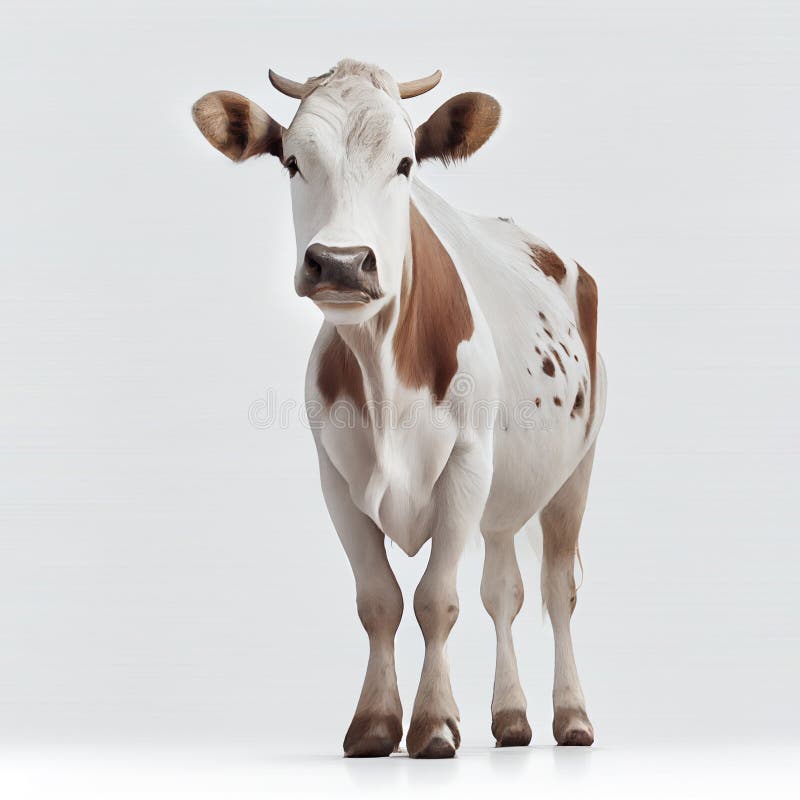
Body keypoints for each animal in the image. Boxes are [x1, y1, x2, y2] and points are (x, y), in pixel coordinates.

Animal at [192, 59, 606, 759]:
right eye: (292, 161)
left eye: (406, 162)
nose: (340, 262)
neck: (385, 371)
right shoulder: (335, 477)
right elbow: (379, 601)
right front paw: (375, 724)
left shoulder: (466, 464)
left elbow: (437, 599)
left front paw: (435, 722)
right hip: (503, 495)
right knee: (504, 591)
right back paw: (511, 719)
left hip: (574, 472)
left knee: (556, 591)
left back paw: (571, 717)